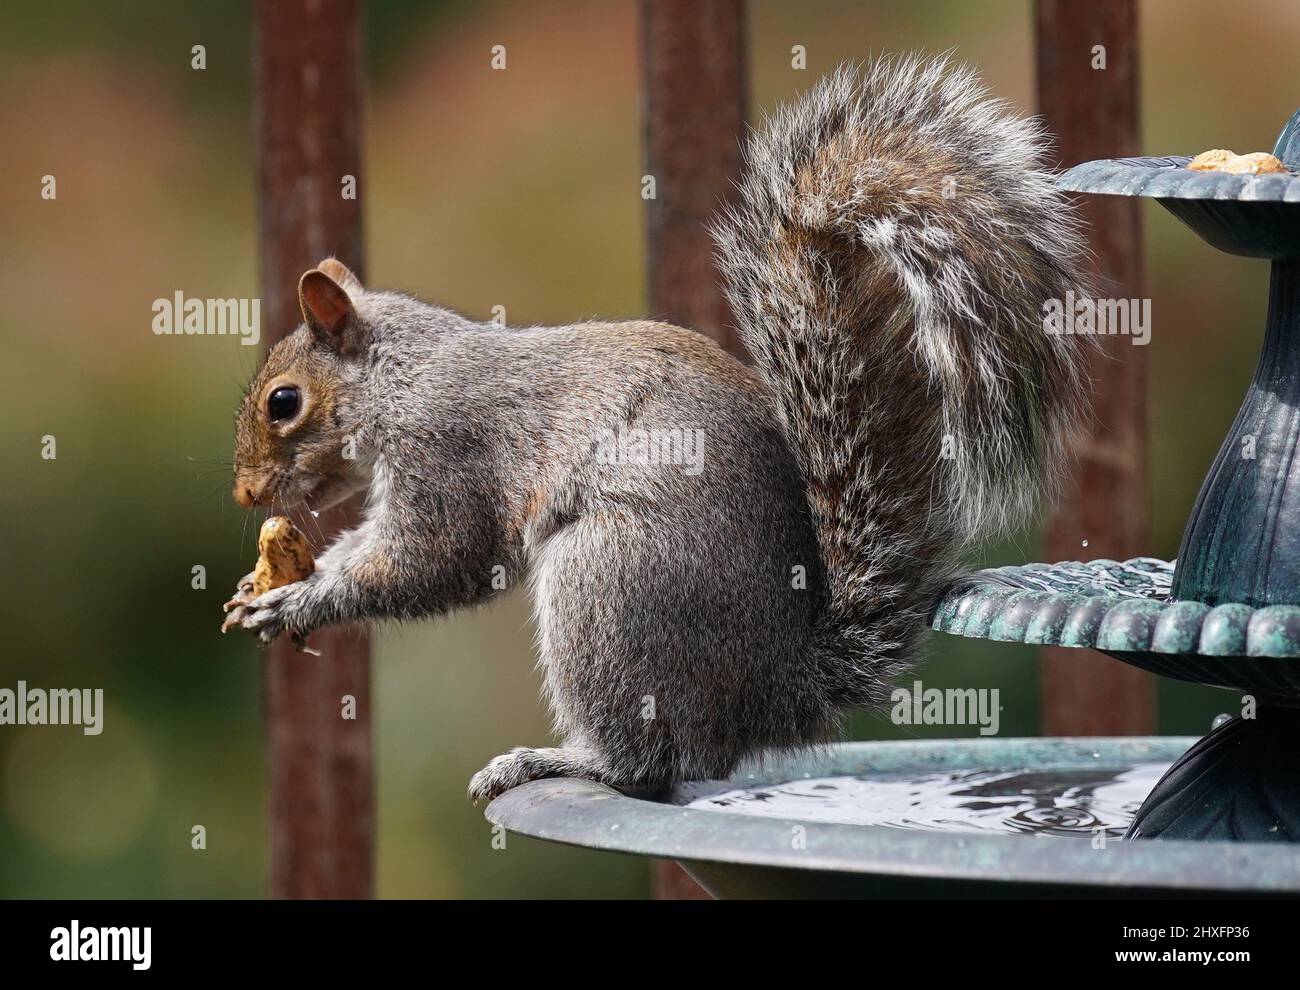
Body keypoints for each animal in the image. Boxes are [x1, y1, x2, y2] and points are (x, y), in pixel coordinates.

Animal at [223, 56, 1091, 802]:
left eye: (283, 402)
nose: (244, 493)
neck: (399, 373)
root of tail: (781, 694)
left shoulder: (445, 448)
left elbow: (436, 556)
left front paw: (299, 601)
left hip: (608, 586)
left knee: (651, 762)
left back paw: (556, 760)